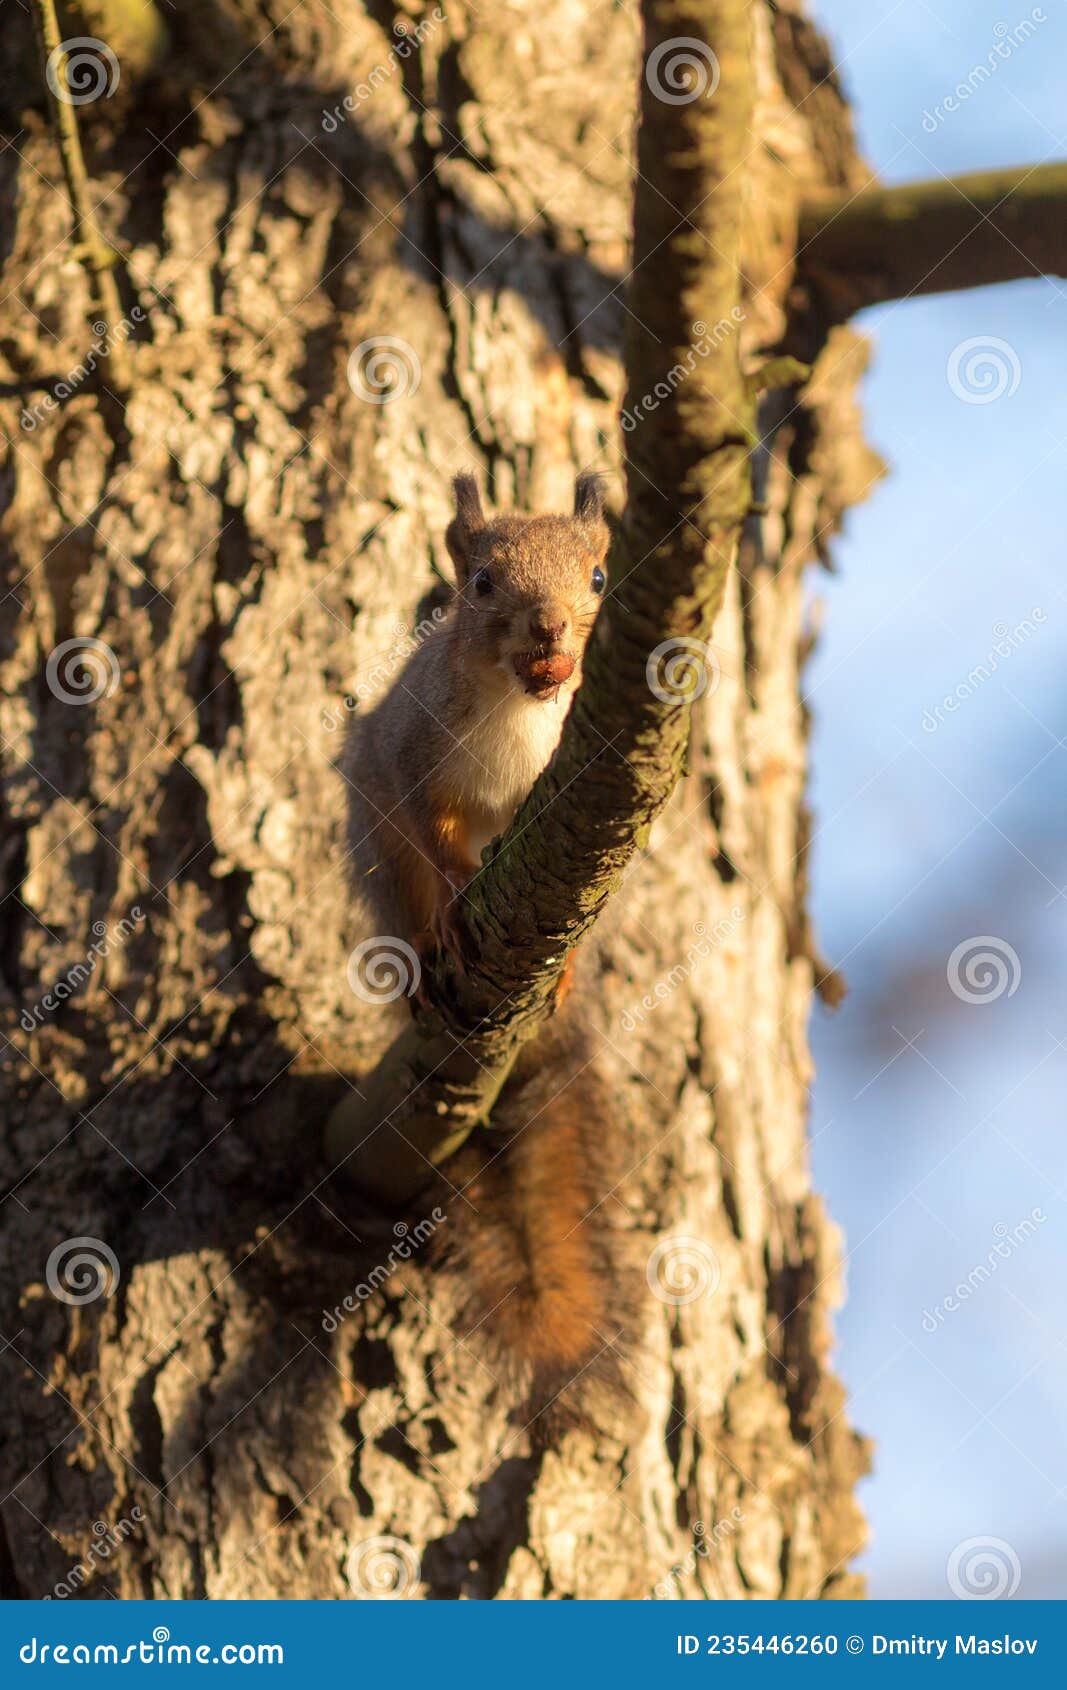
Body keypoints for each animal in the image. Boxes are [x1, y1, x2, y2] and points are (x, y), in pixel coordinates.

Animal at [341, 473, 629, 1434]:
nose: (549, 631)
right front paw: (450, 910)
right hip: (375, 850)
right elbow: (435, 838)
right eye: (480, 584)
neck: (521, 707)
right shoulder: (411, 760)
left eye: (598, 576)